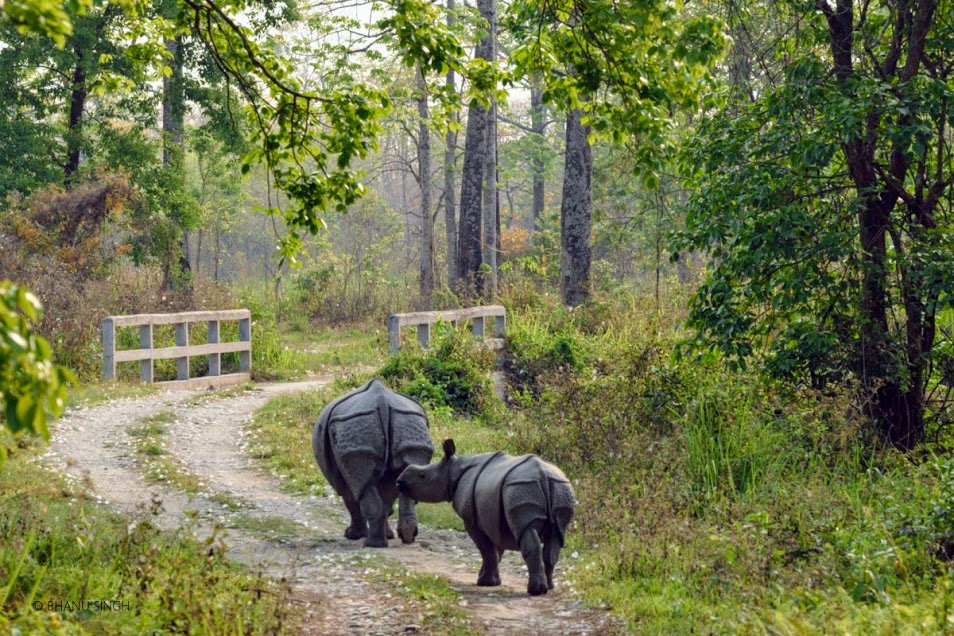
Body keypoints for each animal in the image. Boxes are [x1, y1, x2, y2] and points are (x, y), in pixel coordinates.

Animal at [312, 379, 433, 547]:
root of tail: (382, 402)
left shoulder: (342, 476)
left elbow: (351, 500)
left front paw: (352, 535)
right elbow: (385, 501)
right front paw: (389, 535)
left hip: (356, 426)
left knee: (364, 488)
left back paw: (373, 544)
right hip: (410, 424)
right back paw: (406, 538)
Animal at [397, 439, 575, 596]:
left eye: (422, 475)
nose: (399, 482)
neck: (451, 470)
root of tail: (543, 474)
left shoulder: (471, 519)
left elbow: (486, 548)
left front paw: (485, 583)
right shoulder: (494, 517)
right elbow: (496, 550)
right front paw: (486, 578)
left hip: (521, 486)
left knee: (527, 531)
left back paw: (535, 591)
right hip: (560, 487)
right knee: (556, 536)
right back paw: (550, 587)